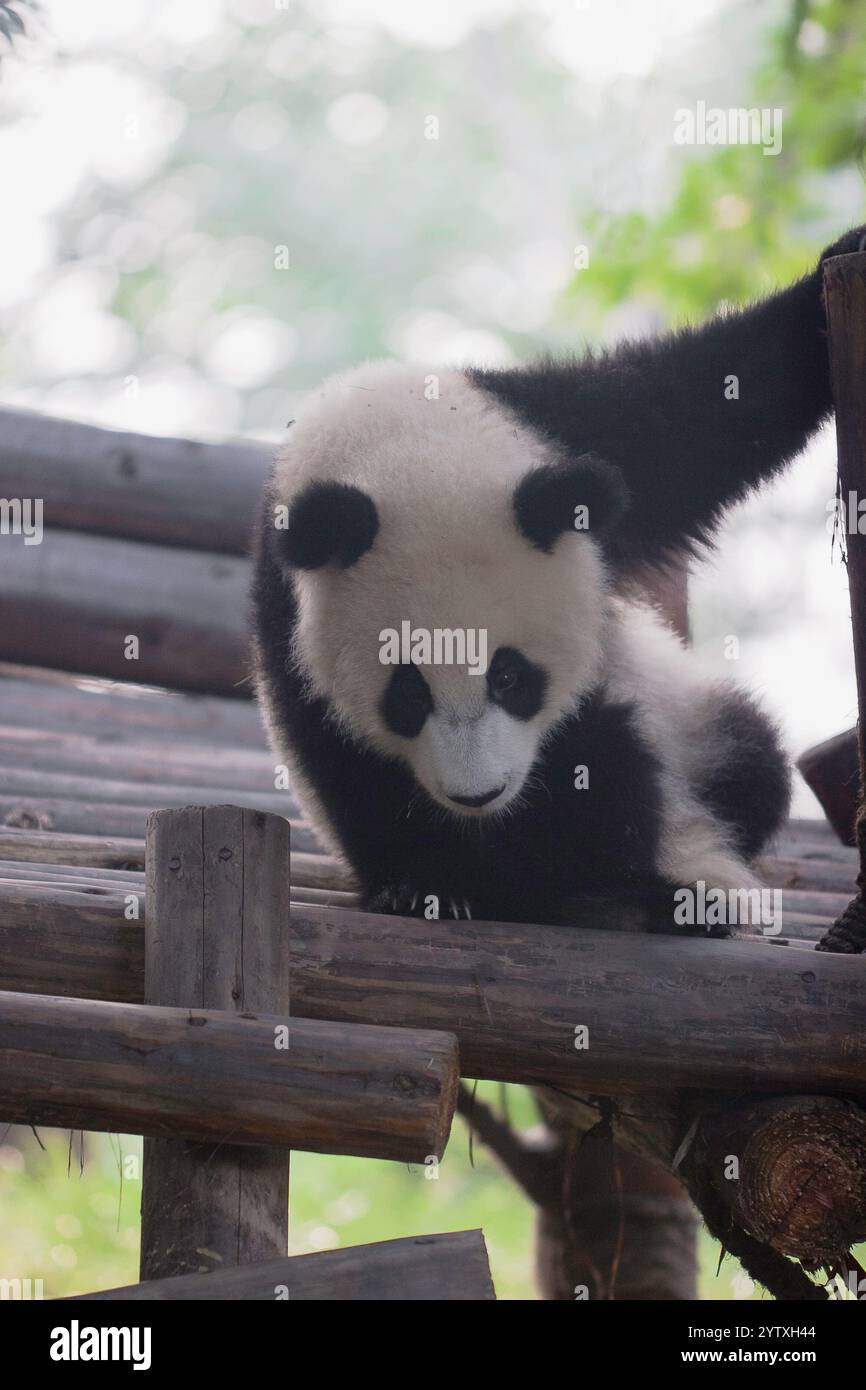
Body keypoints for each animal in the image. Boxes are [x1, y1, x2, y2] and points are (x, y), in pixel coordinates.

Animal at [251, 227, 862, 932]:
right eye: (407, 693)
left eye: (510, 677)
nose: (479, 794)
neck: (400, 439)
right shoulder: (287, 612)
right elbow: (345, 760)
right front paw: (427, 883)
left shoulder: (563, 427)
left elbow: (710, 407)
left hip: (694, 717)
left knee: (751, 760)